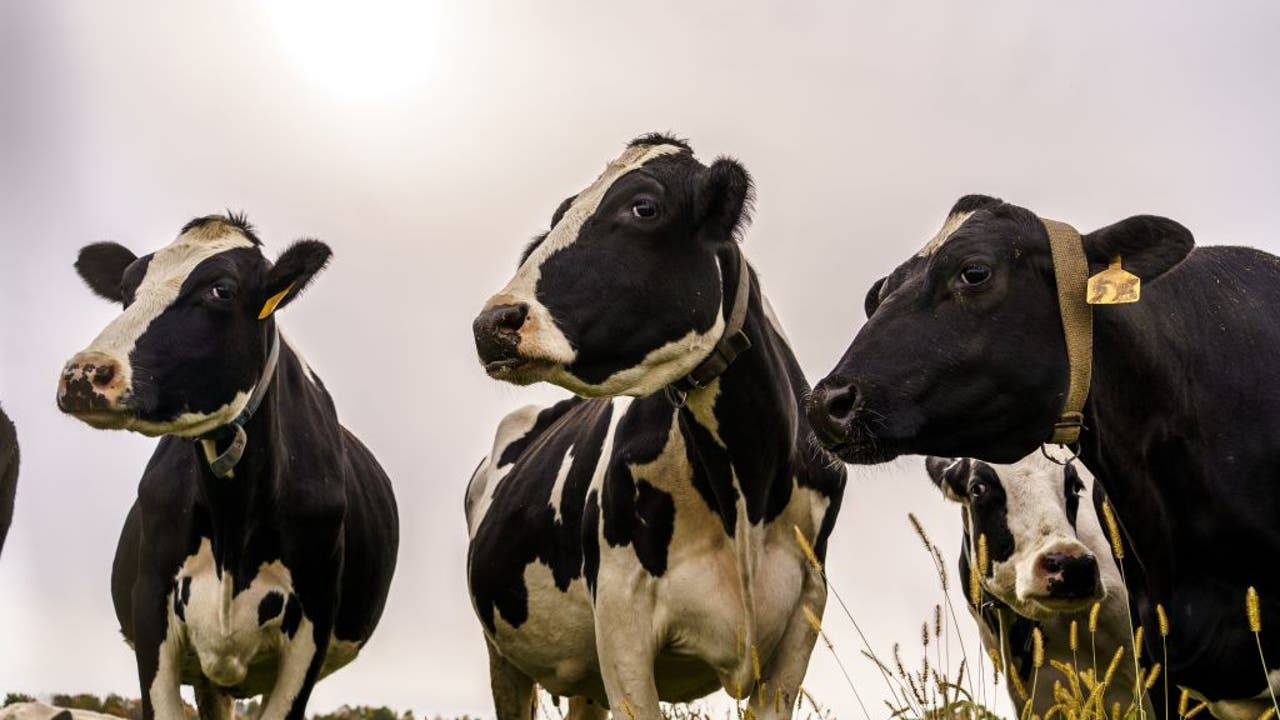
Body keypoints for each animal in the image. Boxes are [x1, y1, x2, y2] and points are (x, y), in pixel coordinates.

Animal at [57, 215, 399, 720]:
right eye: (125, 289)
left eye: (221, 290)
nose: (84, 373)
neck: (233, 518)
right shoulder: (151, 608)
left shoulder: (313, 626)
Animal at [466, 134, 847, 720]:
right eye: (560, 215)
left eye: (644, 207)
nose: (493, 323)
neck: (745, 492)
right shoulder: (621, 620)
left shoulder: (802, 621)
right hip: (503, 655)